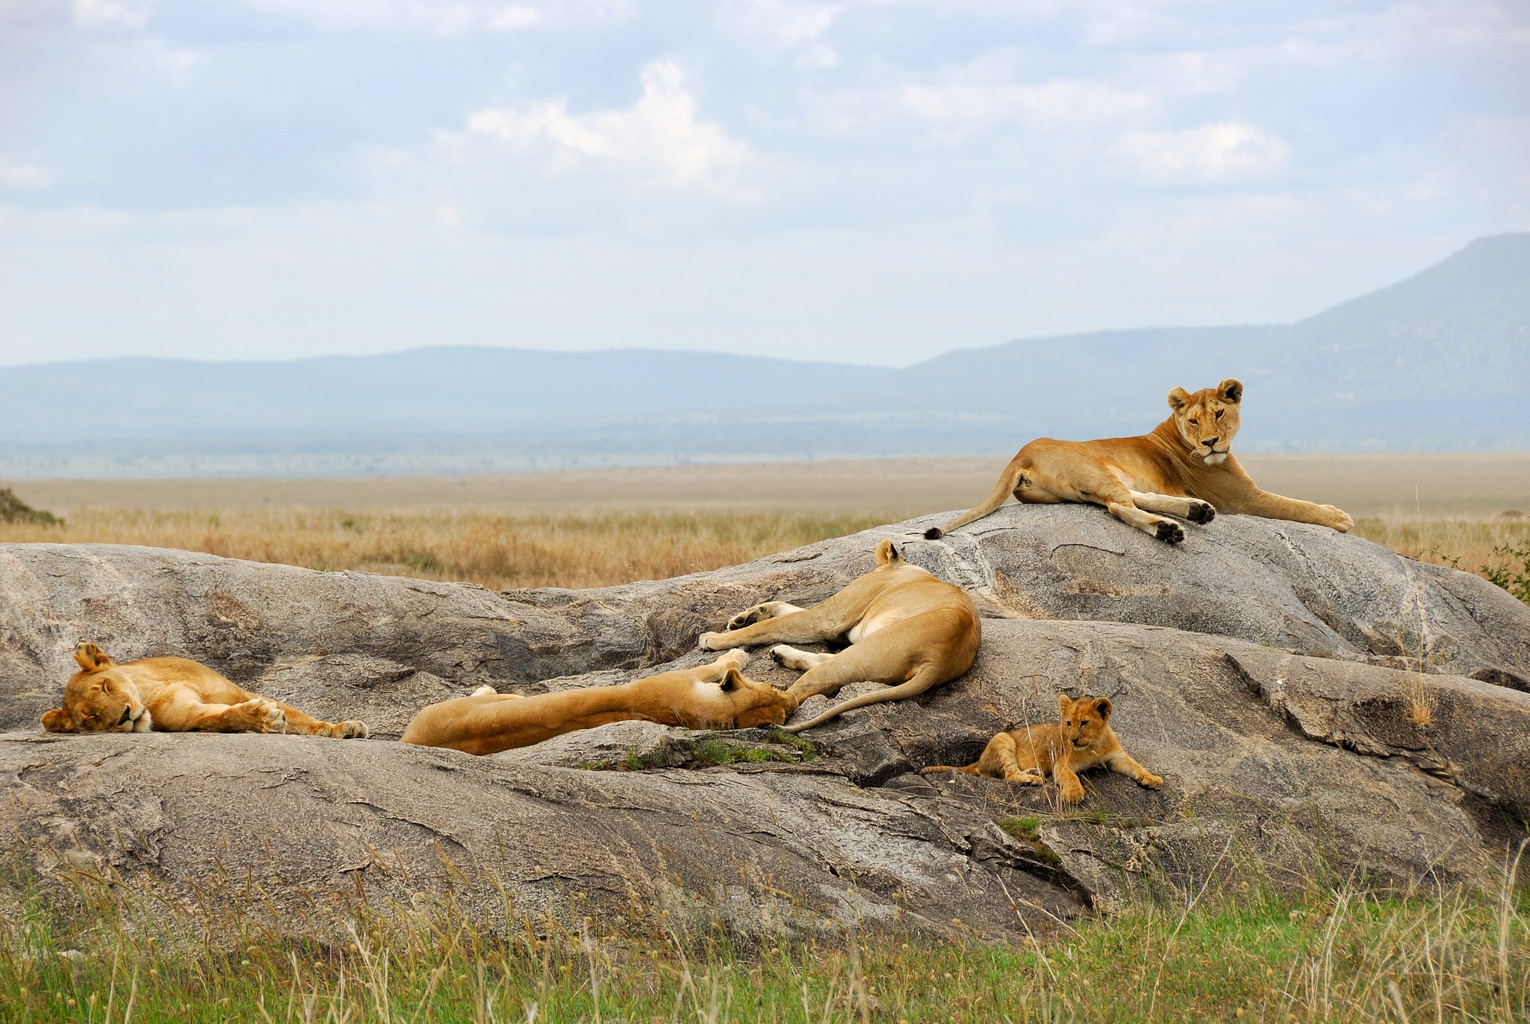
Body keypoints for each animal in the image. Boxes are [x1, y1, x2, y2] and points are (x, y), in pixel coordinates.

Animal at [40, 641, 370, 738]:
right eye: (91, 719)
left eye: (106, 686)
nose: (124, 716)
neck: (151, 691)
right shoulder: (187, 716)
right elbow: (220, 717)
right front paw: (262, 719)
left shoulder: (238, 693)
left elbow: (302, 718)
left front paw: (342, 728)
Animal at [399, 648, 796, 756]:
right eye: (772, 687)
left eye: (782, 704)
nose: (793, 699)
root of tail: (409, 739)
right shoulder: (681, 678)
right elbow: (721, 663)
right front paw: (739, 653)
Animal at [698, 539, 981, 733]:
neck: (905, 569)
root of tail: (939, 659)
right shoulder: (841, 630)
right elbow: (782, 610)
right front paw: (746, 616)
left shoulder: (829, 618)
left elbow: (771, 626)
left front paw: (714, 638)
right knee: (823, 662)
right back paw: (780, 654)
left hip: (862, 653)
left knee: (798, 694)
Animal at [920, 693, 1162, 803]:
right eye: (1068, 723)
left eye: (1084, 723)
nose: (1073, 739)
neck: (1094, 745)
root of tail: (978, 760)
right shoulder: (1062, 763)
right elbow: (1071, 777)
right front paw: (1073, 794)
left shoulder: (1117, 758)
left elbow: (1138, 766)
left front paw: (1152, 779)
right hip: (1003, 738)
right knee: (1008, 775)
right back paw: (1032, 779)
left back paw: (1033, 772)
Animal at [924, 378, 1353, 544]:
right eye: (1194, 420)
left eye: (1218, 413)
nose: (1211, 442)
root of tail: (1020, 454)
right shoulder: (1243, 497)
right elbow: (1294, 505)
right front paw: (1338, 517)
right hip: (1097, 471)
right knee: (1120, 506)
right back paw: (1169, 529)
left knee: (1132, 499)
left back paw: (1196, 512)